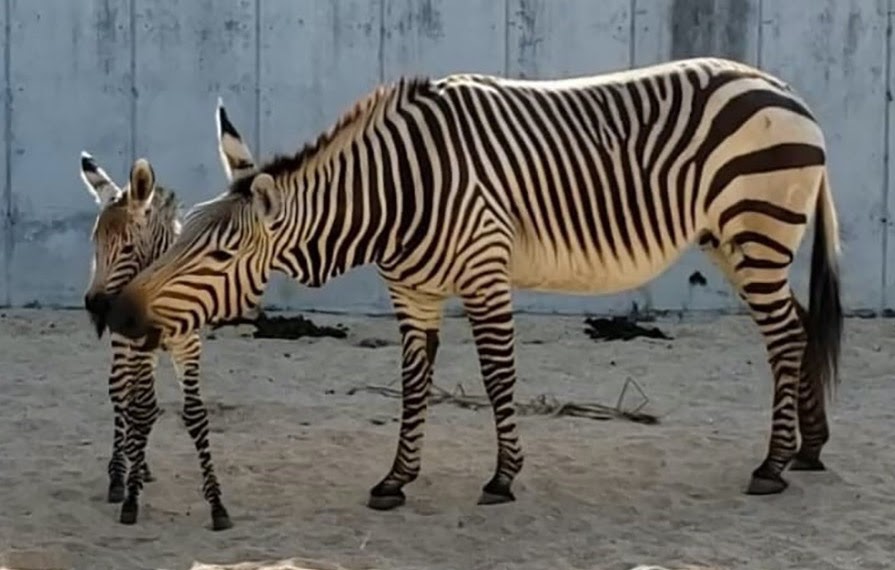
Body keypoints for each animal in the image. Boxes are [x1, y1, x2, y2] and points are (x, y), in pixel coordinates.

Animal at [80, 147, 235, 530]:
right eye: (95, 245)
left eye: (128, 247)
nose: (95, 307)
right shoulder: (137, 346)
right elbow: (140, 409)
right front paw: (131, 497)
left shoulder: (189, 345)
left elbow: (194, 414)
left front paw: (217, 503)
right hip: (126, 347)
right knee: (122, 395)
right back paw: (119, 474)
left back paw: (139, 464)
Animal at [106, 57, 843, 509]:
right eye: (181, 236)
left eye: (220, 255)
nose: (118, 315)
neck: (395, 195)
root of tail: (788, 91)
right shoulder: (411, 291)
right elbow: (413, 384)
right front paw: (396, 479)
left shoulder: (486, 272)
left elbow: (496, 377)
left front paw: (502, 476)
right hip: (733, 240)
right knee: (797, 327)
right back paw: (808, 450)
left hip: (758, 226)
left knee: (783, 335)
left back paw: (773, 464)